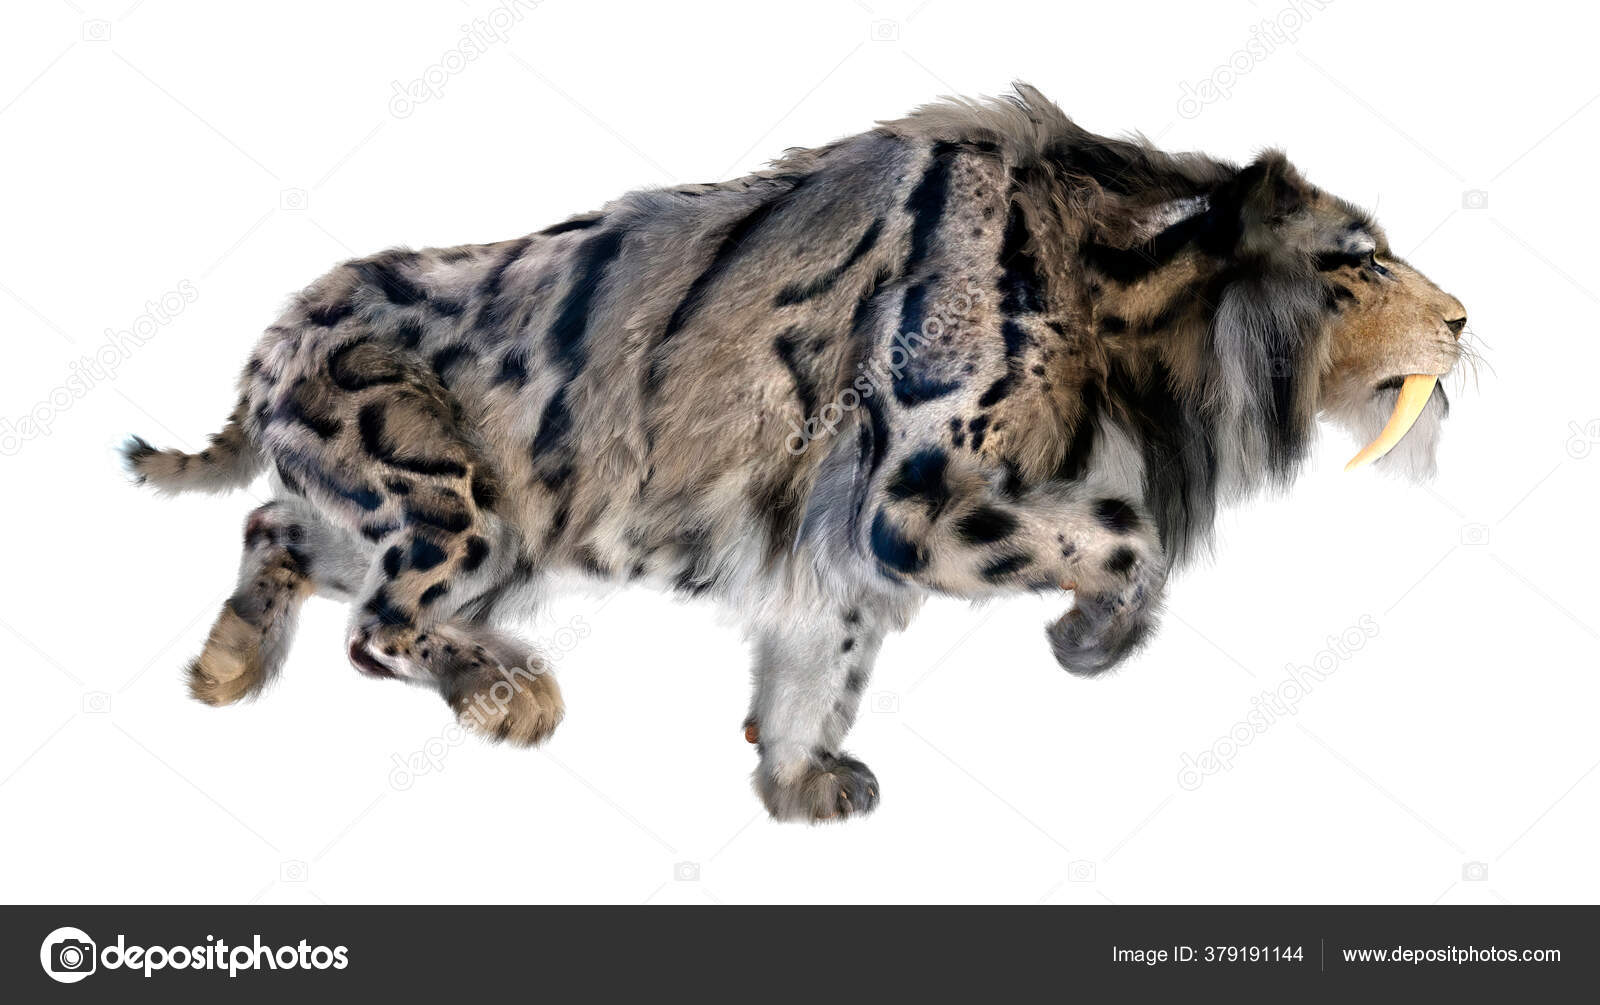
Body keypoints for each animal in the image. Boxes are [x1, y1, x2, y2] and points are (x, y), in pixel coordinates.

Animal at [122, 85, 1469, 821]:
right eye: (1359, 262)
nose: (1463, 319)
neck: (1118, 306)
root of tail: (273, 337)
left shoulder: (849, 543)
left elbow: (826, 658)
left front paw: (795, 785)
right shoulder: (912, 501)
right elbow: (1122, 540)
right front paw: (1090, 639)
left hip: (460, 523)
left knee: (277, 528)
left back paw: (225, 666)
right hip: (453, 509)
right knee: (377, 626)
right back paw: (507, 695)